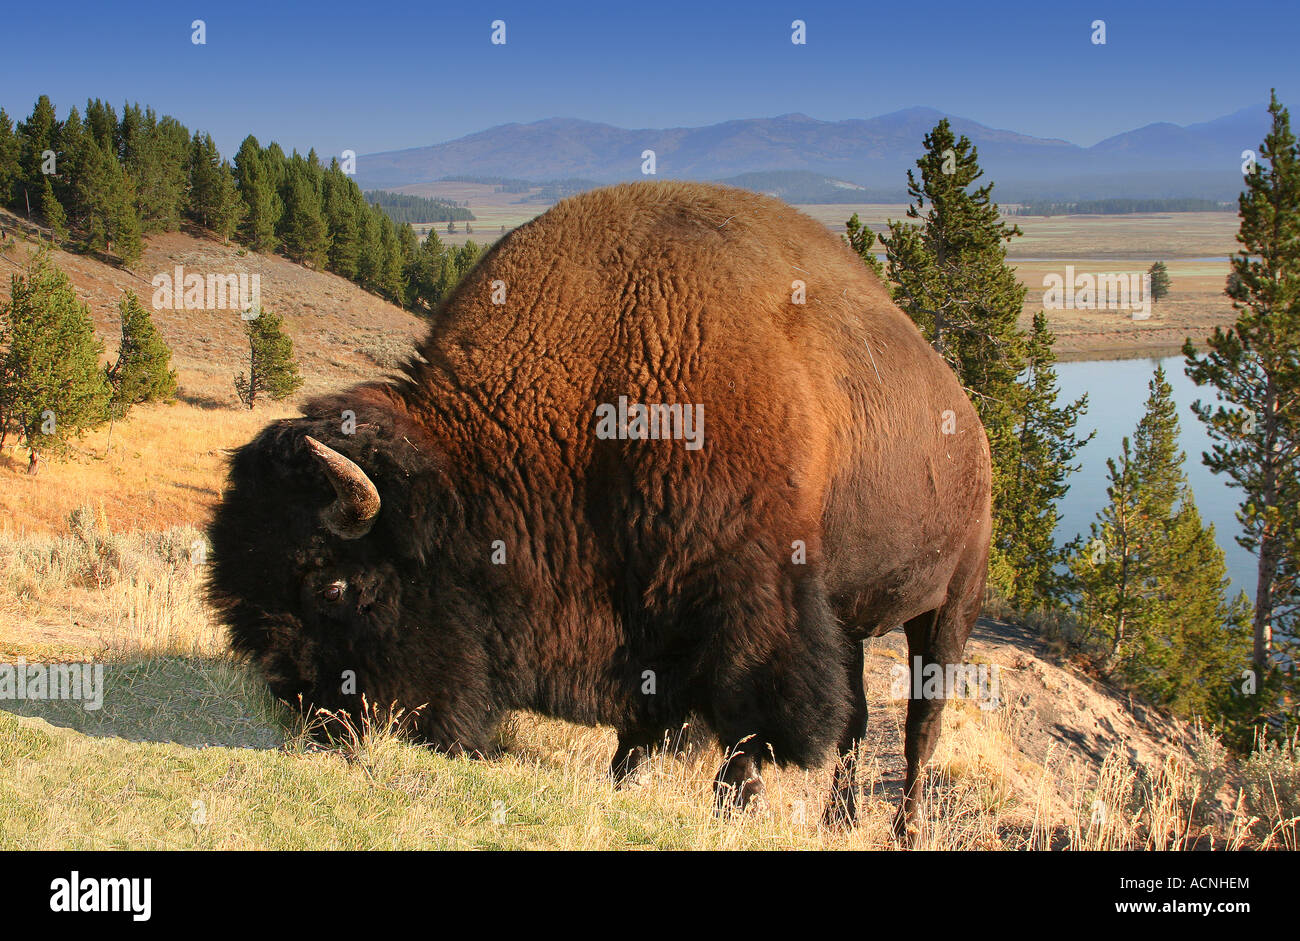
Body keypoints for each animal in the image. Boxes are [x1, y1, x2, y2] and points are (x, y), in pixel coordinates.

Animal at [208, 181, 992, 835]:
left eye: (334, 586)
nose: (312, 715)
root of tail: (972, 428)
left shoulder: (752, 598)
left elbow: (748, 716)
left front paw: (730, 806)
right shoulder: (647, 602)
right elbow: (646, 714)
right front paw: (626, 780)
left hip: (950, 604)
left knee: (920, 726)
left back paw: (904, 828)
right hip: (855, 618)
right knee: (859, 723)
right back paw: (840, 819)